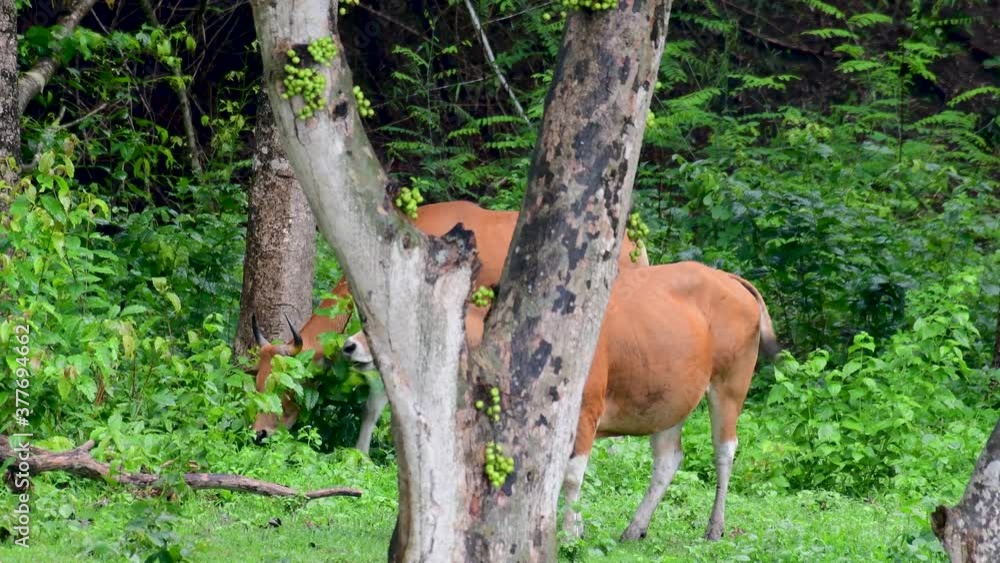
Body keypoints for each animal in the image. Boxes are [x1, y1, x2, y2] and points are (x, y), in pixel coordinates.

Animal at [342, 261, 777, 541]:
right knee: (668, 460)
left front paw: (569, 532)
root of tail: (731, 280)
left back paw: (715, 527)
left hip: (730, 384)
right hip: (670, 400)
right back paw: (635, 528)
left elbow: (570, 476)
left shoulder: (586, 411)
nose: (350, 345)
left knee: (725, 451)